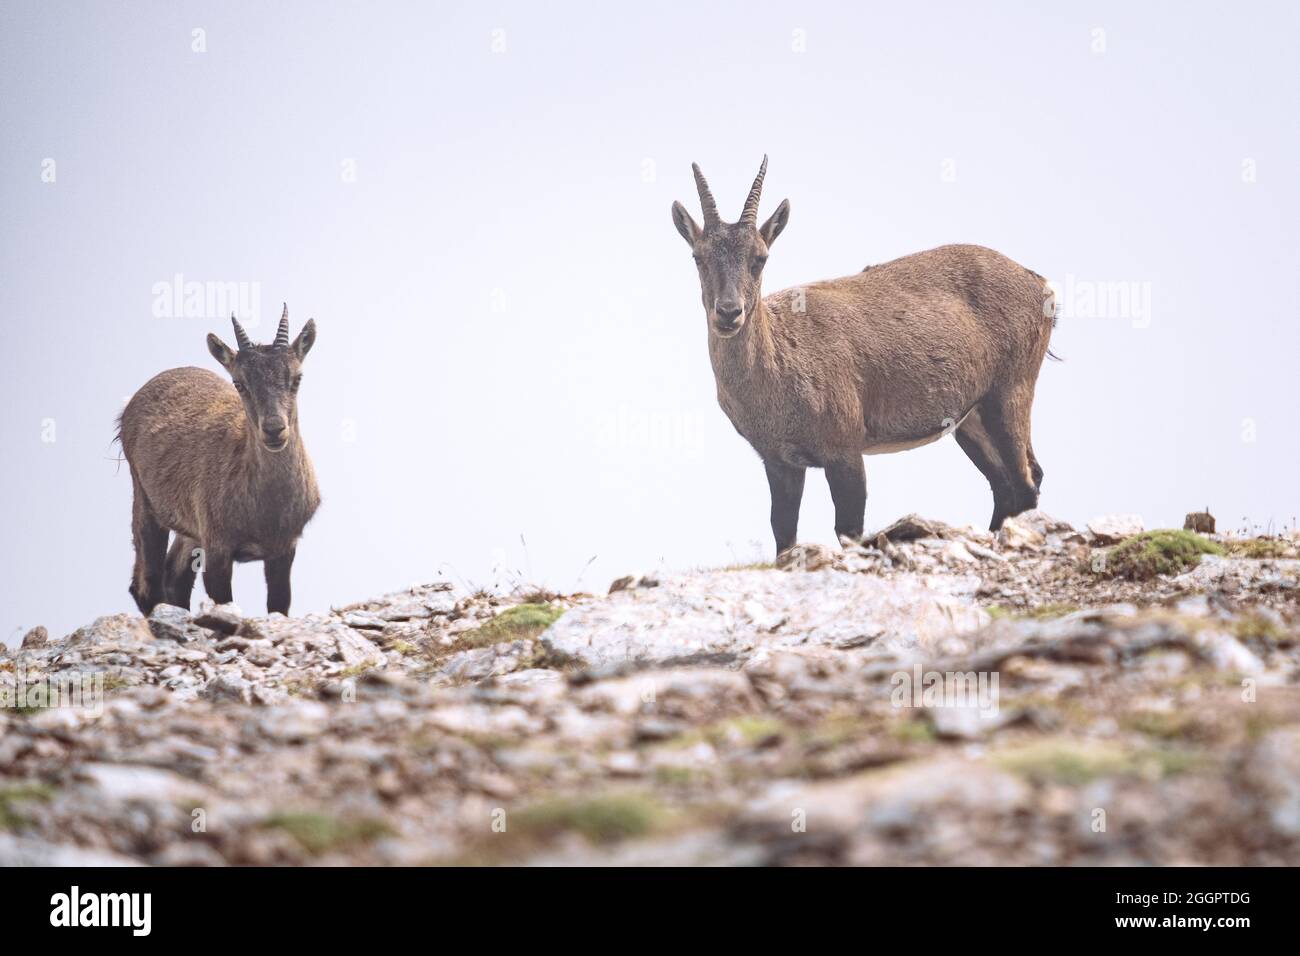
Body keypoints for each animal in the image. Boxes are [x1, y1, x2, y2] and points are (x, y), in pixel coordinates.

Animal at [118, 305, 320, 615]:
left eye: (297, 378)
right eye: (239, 383)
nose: (274, 429)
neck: (265, 509)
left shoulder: (283, 548)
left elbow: (279, 604)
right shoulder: (217, 547)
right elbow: (222, 600)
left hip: (190, 530)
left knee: (173, 576)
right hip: (146, 502)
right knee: (146, 583)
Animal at [671, 157, 1053, 555]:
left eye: (759, 258)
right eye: (698, 257)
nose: (729, 312)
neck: (780, 362)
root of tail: (1040, 283)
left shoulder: (845, 449)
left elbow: (849, 528)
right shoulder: (780, 461)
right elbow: (783, 531)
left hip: (1011, 391)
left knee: (1024, 481)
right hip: (970, 418)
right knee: (1006, 484)